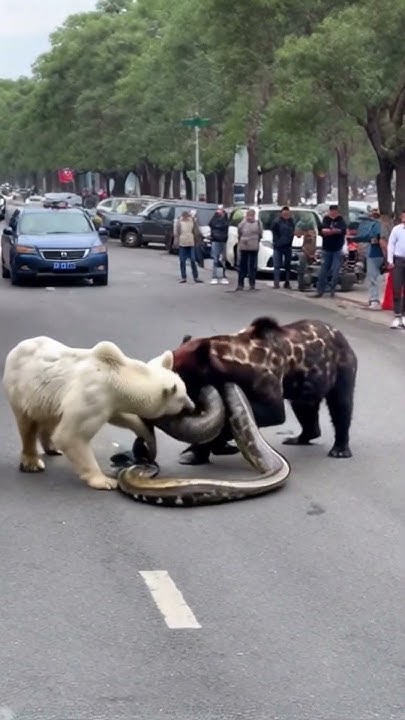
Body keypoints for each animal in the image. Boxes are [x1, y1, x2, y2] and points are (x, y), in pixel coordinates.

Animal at [2, 336, 195, 490]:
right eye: (182, 397)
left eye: (186, 391)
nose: (192, 406)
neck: (117, 373)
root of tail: (16, 349)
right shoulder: (93, 394)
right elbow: (72, 435)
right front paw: (105, 481)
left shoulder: (109, 401)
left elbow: (122, 418)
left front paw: (149, 440)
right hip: (21, 389)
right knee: (27, 425)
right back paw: (33, 463)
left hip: (44, 397)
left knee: (50, 417)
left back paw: (52, 447)